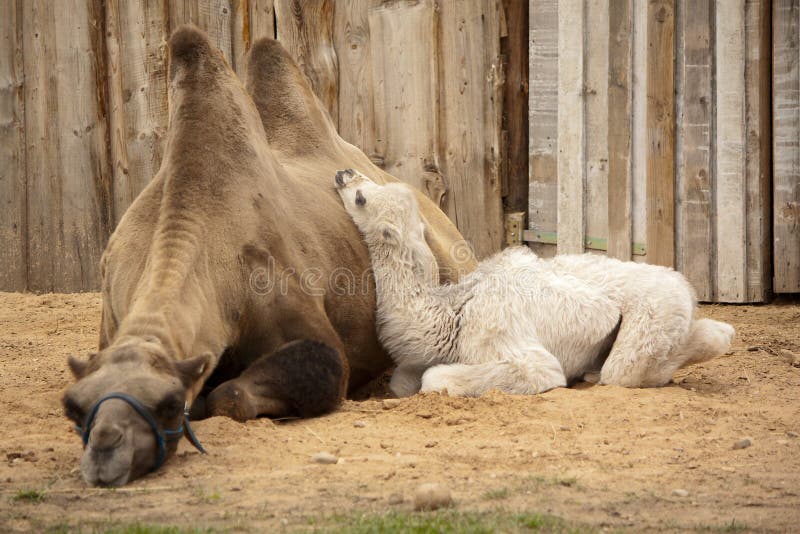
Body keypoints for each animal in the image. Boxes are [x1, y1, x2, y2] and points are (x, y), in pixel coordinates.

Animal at [334, 170, 736, 400]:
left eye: (361, 198)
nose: (342, 173)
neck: (451, 314)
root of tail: (686, 287)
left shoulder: (504, 341)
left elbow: (437, 378)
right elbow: (401, 382)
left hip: (654, 316)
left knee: (629, 369)